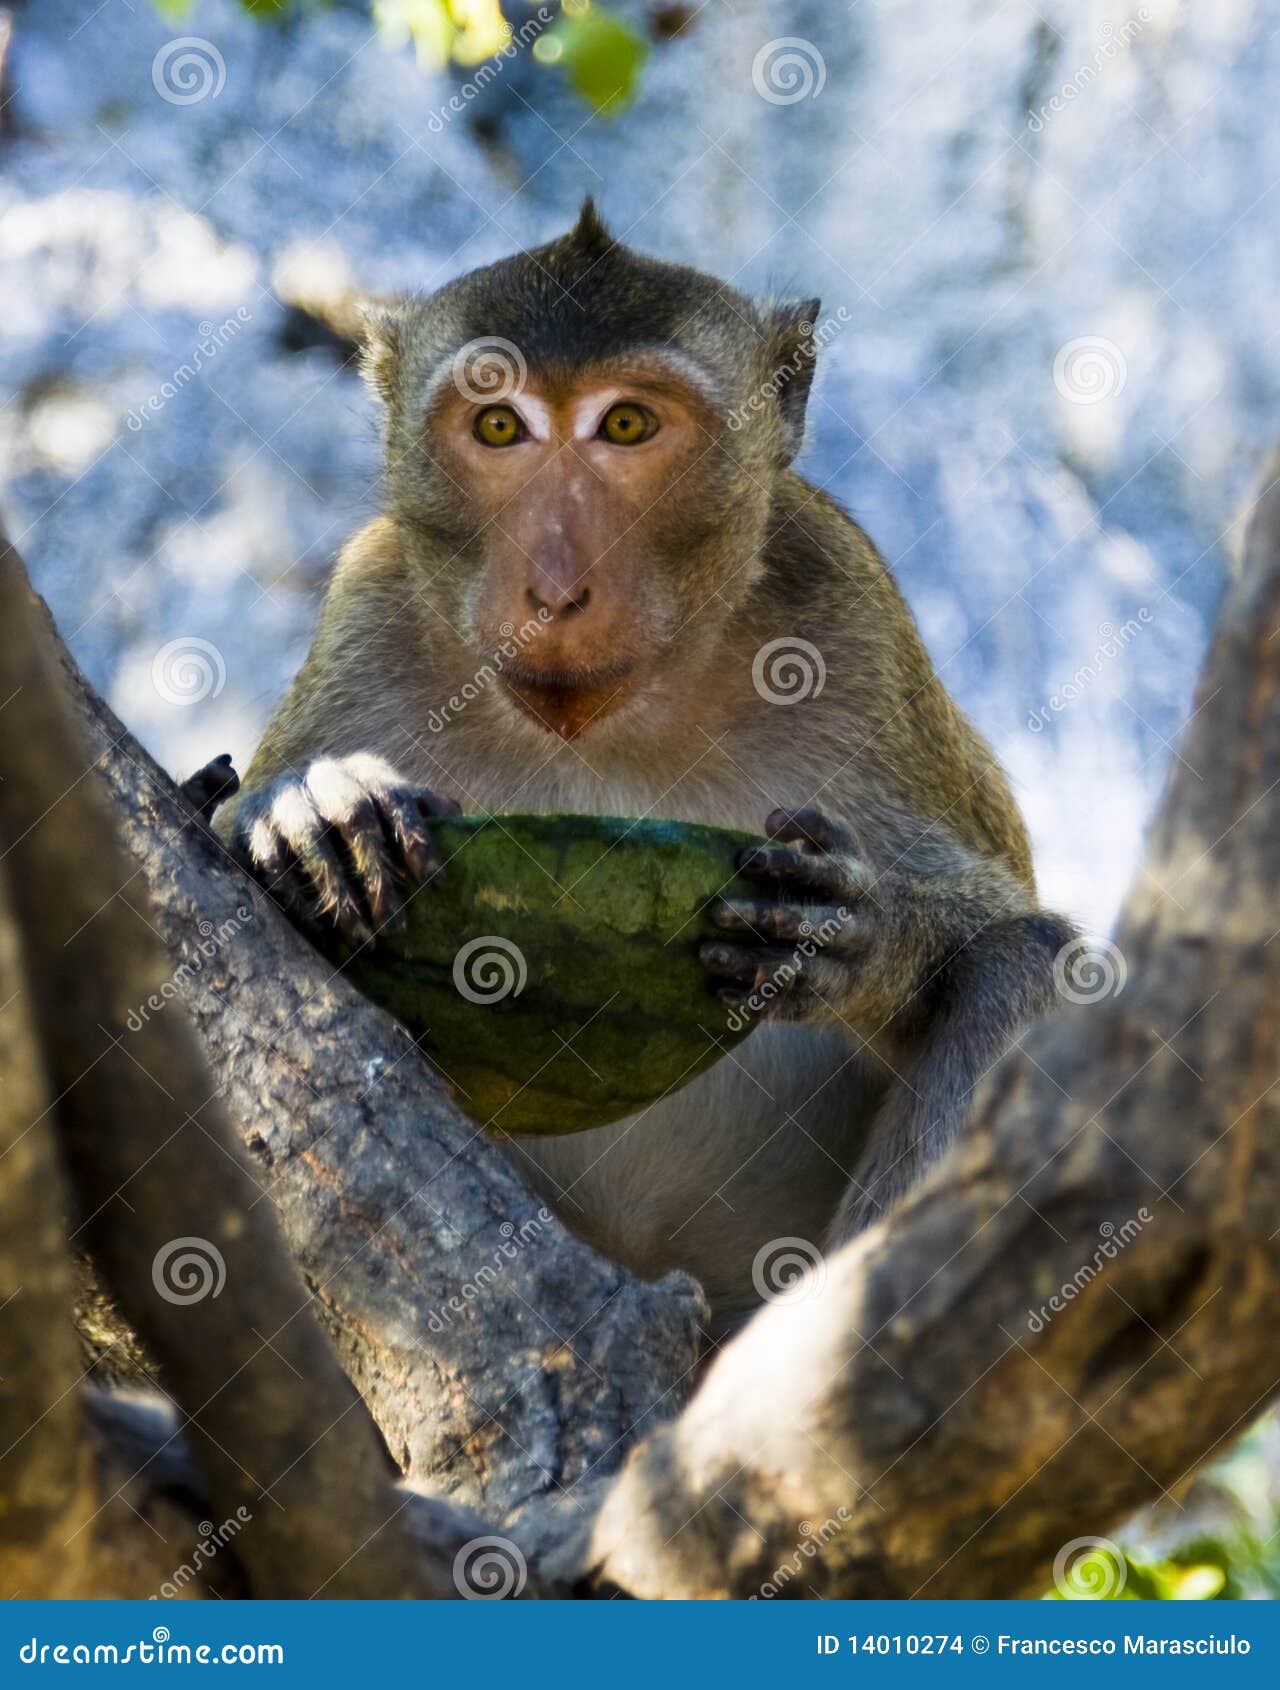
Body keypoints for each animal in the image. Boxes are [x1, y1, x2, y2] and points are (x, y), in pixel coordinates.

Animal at [215, 201, 1074, 1335]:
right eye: (499, 428)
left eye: (626, 426)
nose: (553, 587)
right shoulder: (368, 604)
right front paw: (309, 809)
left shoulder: (854, 616)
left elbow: (991, 924)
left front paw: (860, 930)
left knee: (1026, 963)